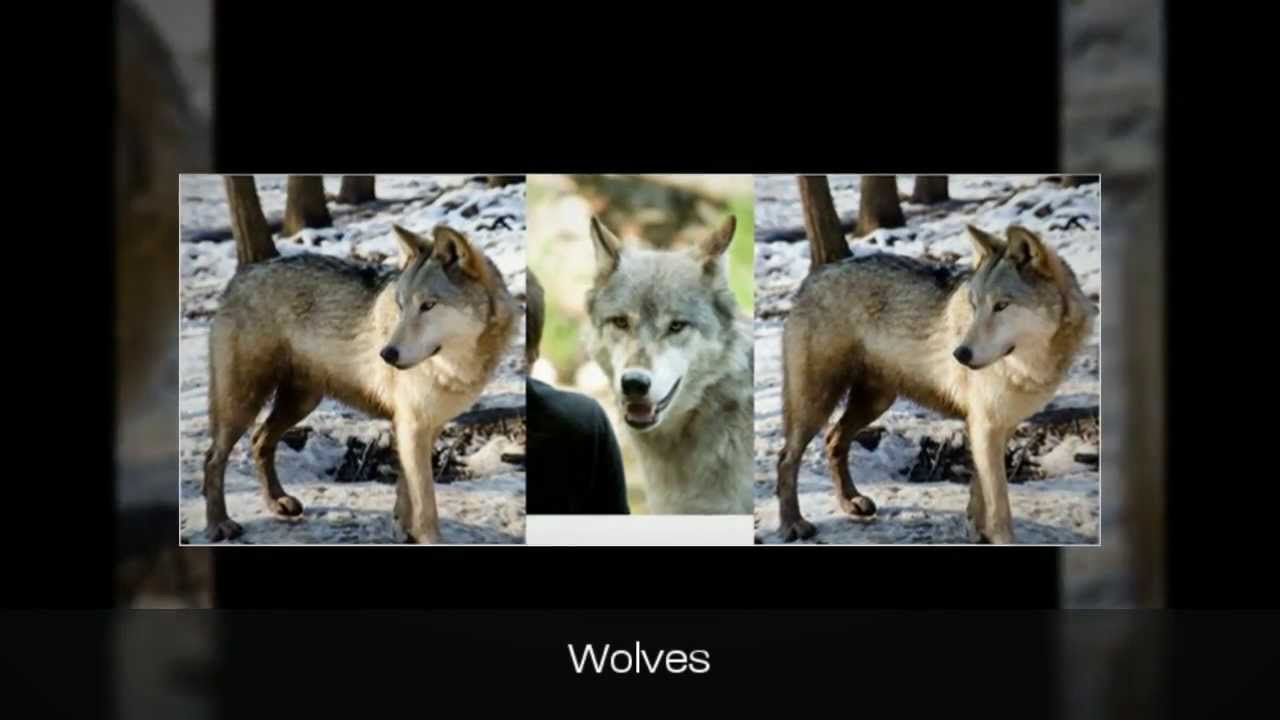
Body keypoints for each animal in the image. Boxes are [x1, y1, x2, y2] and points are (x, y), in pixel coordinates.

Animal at [201, 224, 518, 543]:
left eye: (428, 305)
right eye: (401, 307)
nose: (387, 354)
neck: (452, 366)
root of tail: (242, 274)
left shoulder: (423, 427)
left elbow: (406, 491)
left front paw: (402, 530)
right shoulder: (412, 426)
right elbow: (425, 502)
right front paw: (428, 539)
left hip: (300, 403)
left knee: (260, 440)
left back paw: (278, 501)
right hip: (244, 403)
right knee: (213, 458)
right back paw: (219, 524)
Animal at [775, 224, 1097, 543]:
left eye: (1001, 306)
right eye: (975, 306)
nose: (960, 354)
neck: (1026, 366)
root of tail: (815, 274)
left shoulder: (997, 426)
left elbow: (979, 490)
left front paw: (976, 530)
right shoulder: (985, 425)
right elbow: (998, 503)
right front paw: (998, 536)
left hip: (875, 402)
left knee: (834, 440)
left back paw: (851, 502)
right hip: (817, 403)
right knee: (787, 458)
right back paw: (793, 524)